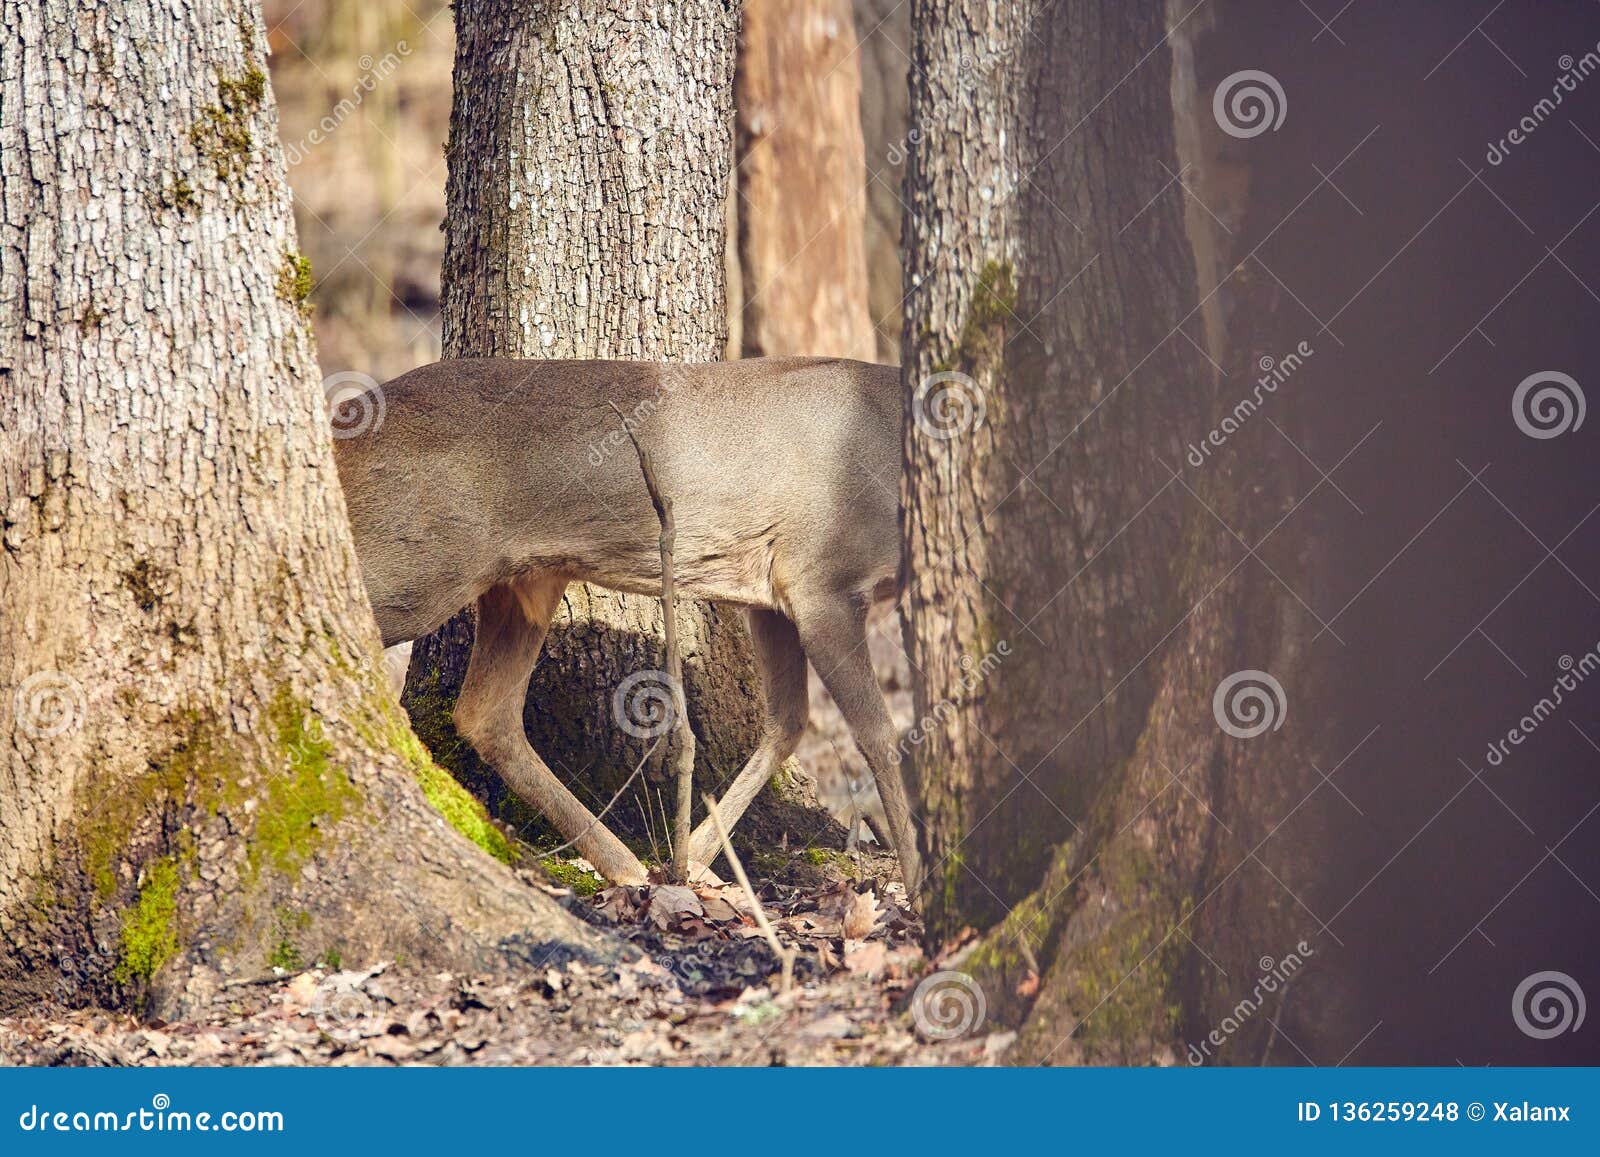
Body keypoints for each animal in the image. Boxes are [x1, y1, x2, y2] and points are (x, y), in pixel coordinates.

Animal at [331, 356, 924, 899]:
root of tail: (342, 428)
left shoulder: (771, 595)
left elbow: (787, 723)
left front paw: (699, 856)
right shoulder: (823, 579)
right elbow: (878, 734)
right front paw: (918, 881)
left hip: (524, 583)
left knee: (485, 715)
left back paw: (624, 865)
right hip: (418, 568)